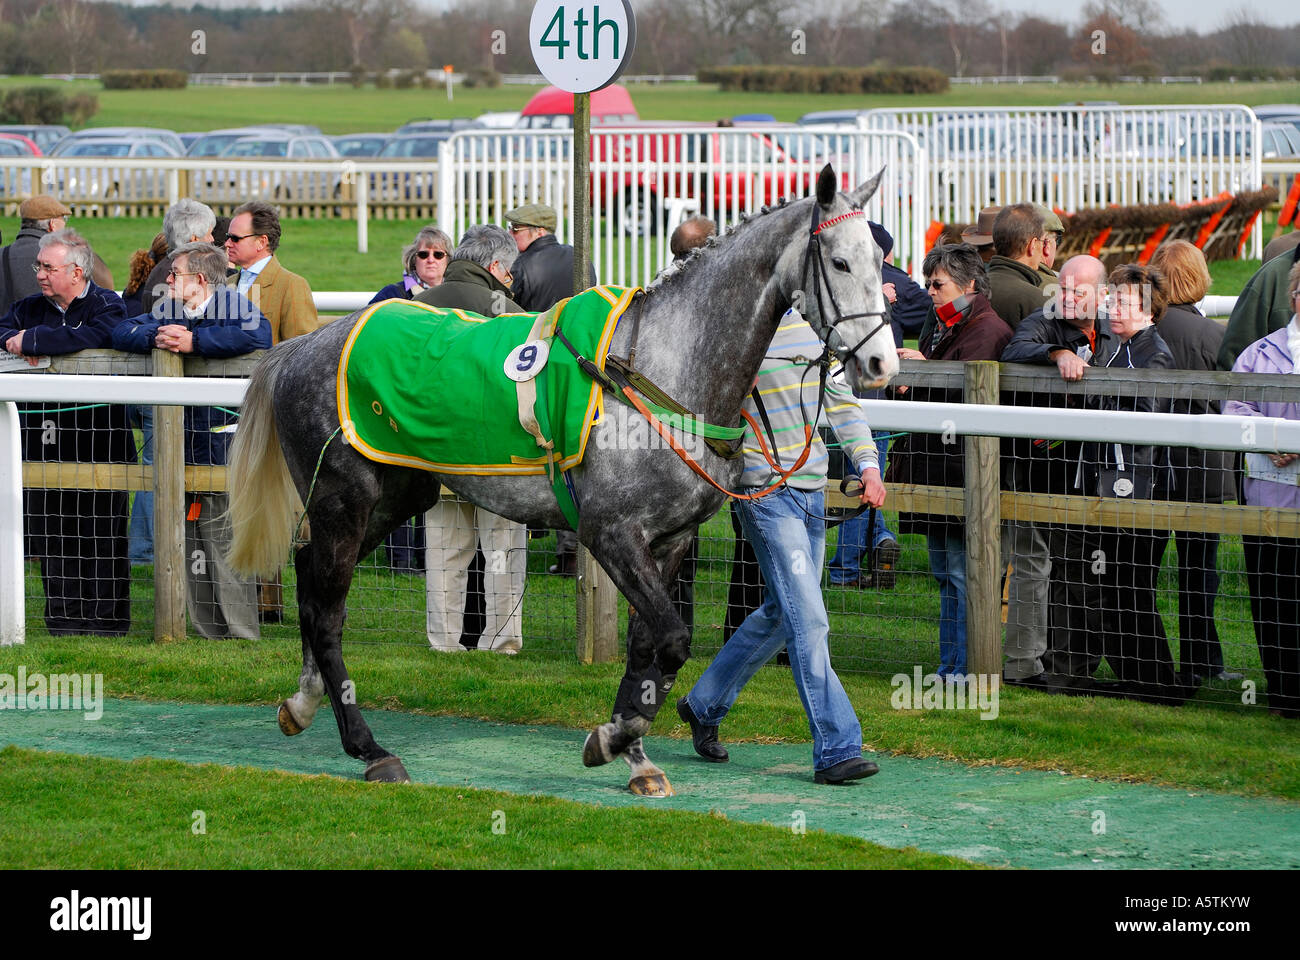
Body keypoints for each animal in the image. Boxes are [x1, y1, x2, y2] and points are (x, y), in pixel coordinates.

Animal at [225, 165, 899, 795]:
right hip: (345, 497)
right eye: (840, 261)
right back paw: (368, 747)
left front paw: (636, 755)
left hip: (395, 496)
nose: (880, 362)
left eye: (879, 260)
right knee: (326, 608)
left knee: (311, 576)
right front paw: (614, 737)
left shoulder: (670, 539)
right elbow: (672, 639)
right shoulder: (610, 533)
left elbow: (648, 646)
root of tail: (303, 345)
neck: (656, 370)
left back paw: (302, 703)